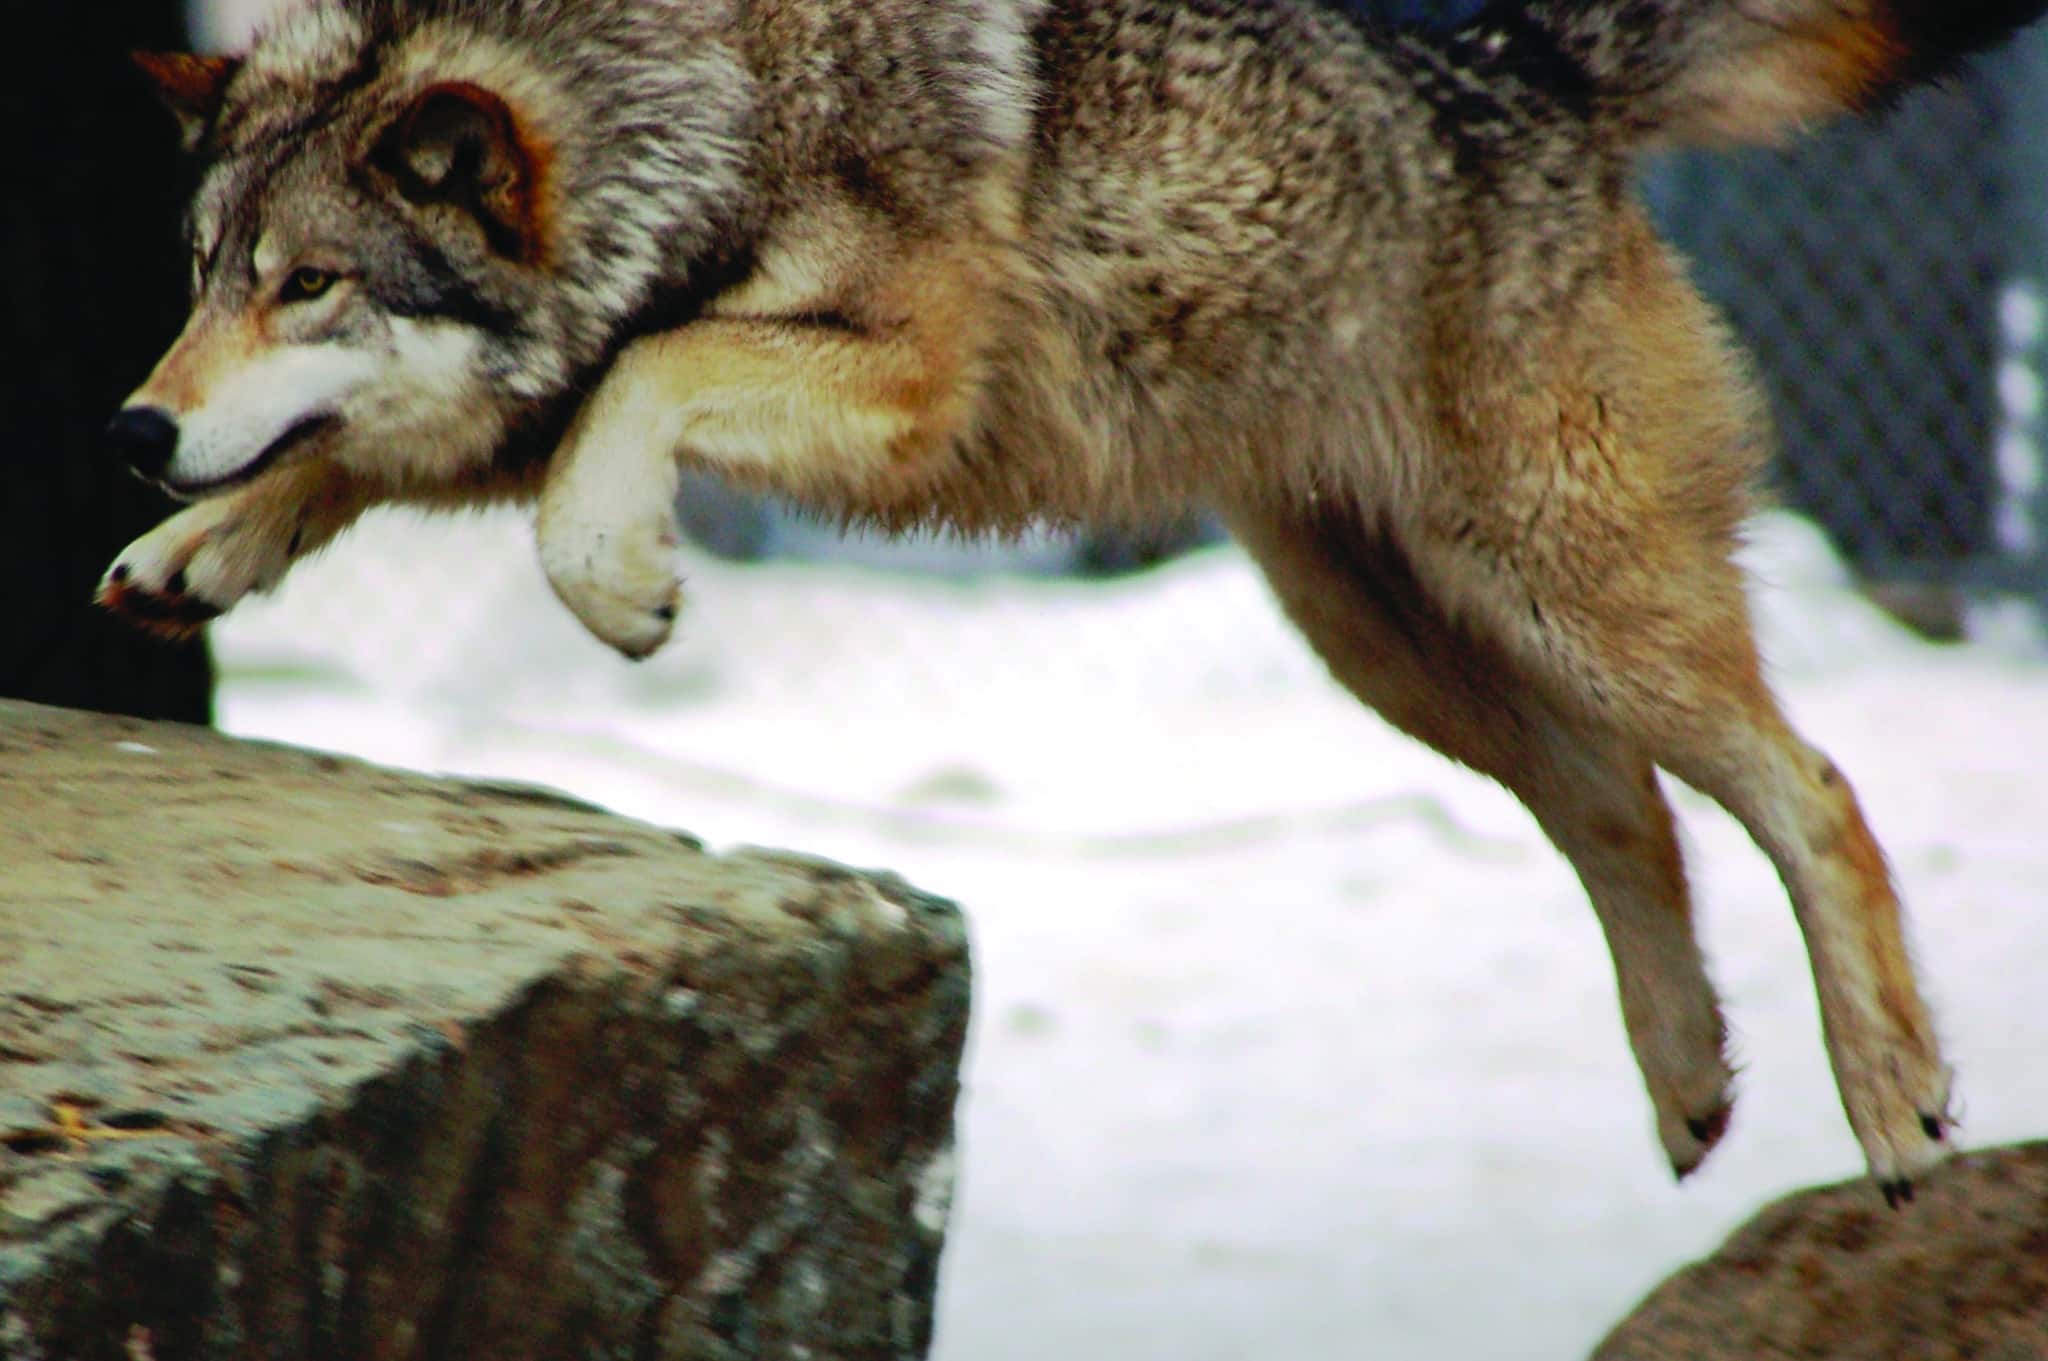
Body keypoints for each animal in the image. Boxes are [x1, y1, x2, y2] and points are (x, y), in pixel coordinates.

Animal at [99, 0, 2045, 1199]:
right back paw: (1692, 1079)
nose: (134, 426)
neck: (704, 97)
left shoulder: (902, 379)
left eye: (309, 283)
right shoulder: (557, 386)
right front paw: (208, 545)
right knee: (1625, 817)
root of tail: (1531, 54)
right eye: (201, 275)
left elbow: (632, 393)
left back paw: (1892, 1106)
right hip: (1392, 643)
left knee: (1808, 788)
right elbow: (406, 447)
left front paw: (622, 590)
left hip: (1559, 592)